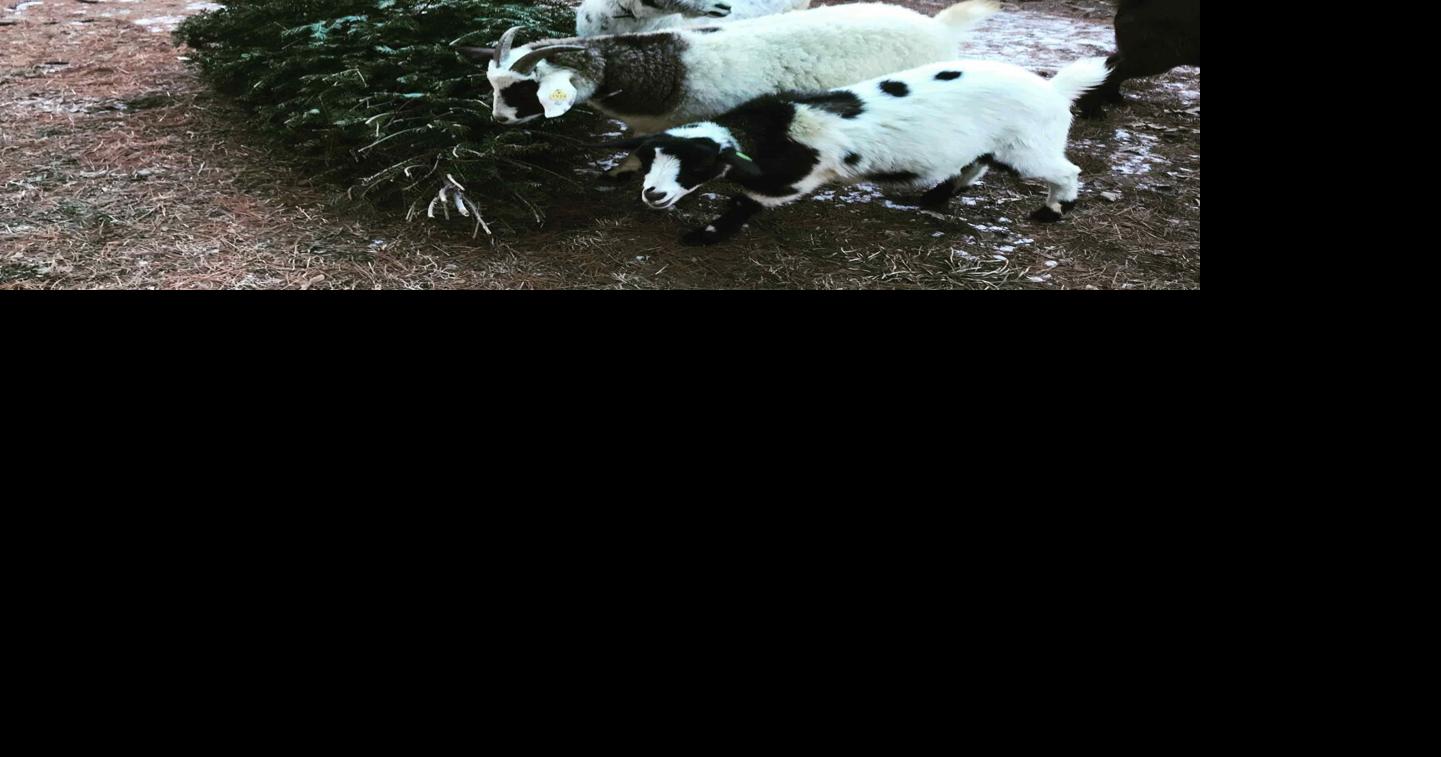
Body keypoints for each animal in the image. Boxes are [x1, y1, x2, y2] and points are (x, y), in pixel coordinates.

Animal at [593, 57, 1112, 246]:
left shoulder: (794, 179)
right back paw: (935, 198)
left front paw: (704, 234)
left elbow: (745, 201)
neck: (770, 131)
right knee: (975, 165)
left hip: (1029, 147)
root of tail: (1054, 89)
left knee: (1065, 170)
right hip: (993, 145)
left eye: (700, 163)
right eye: (650, 158)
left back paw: (1053, 211)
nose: (654, 195)